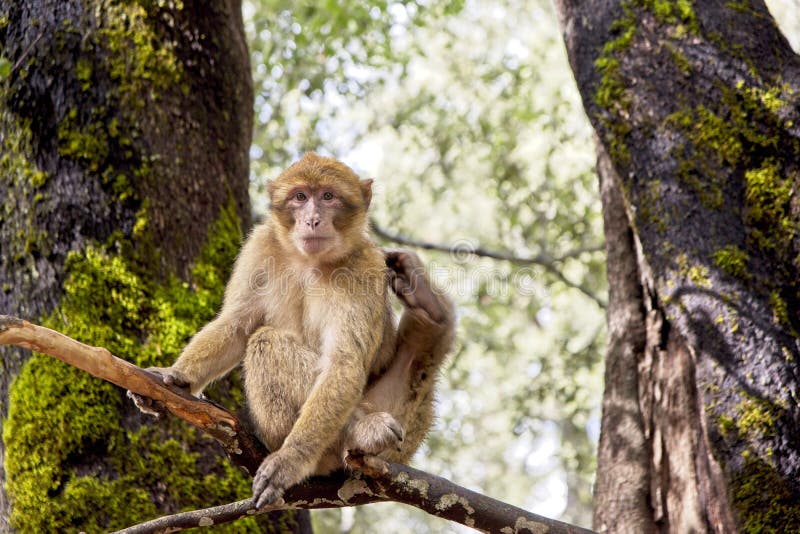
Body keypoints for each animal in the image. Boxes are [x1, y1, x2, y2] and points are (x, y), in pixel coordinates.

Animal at [137, 153, 455, 508]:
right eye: (300, 197)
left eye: (328, 196)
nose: (313, 219)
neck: (309, 261)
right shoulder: (260, 246)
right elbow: (237, 324)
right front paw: (177, 375)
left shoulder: (365, 265)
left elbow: (343, 362)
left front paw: (291, 459)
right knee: (265, 340)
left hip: (399, 431)